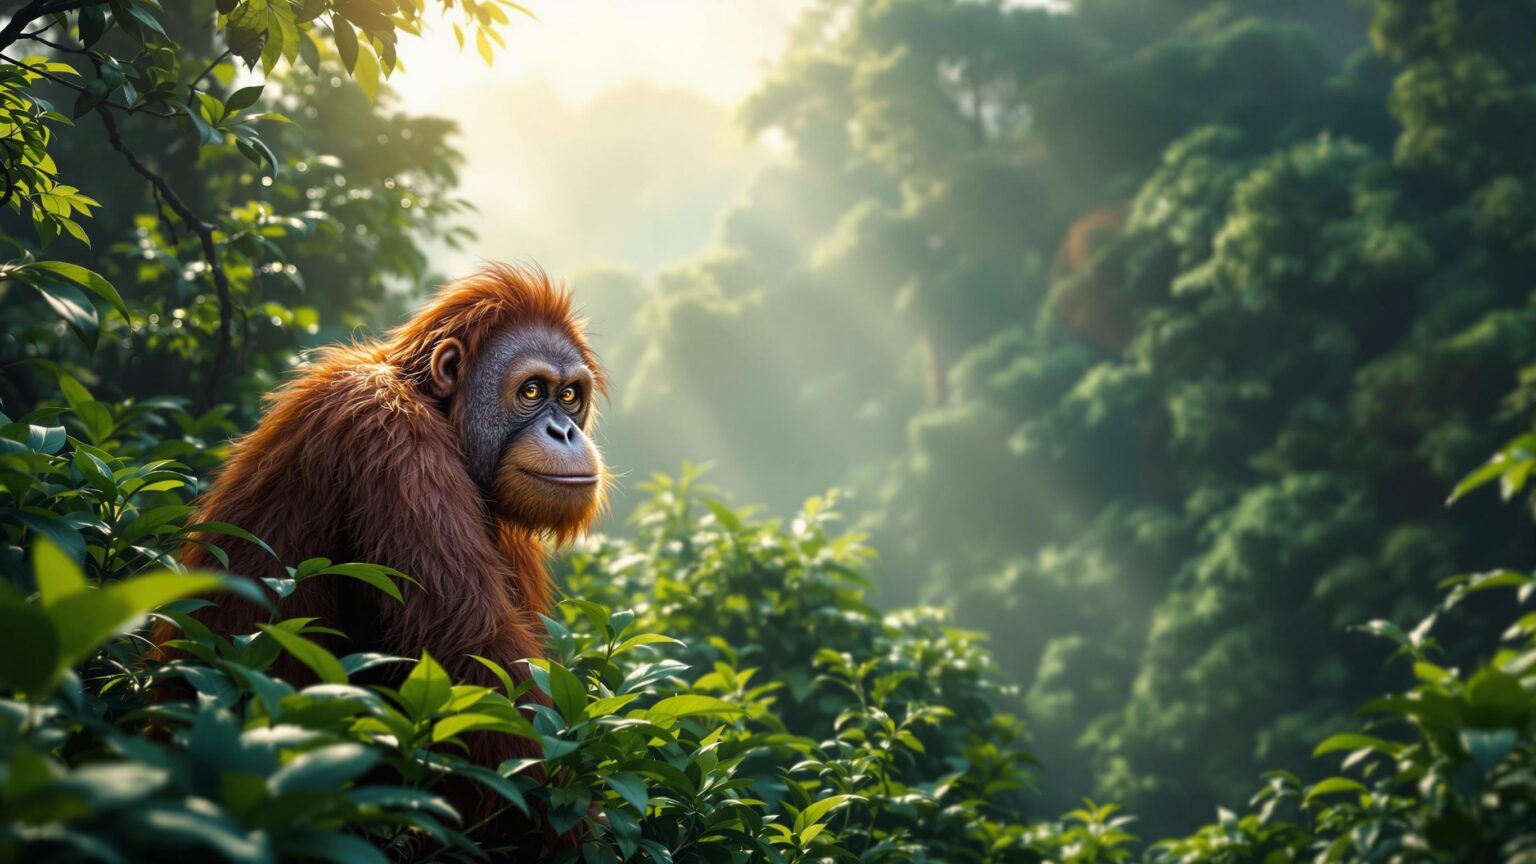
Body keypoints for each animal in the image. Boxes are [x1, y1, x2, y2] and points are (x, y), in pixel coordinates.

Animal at [156, 264, 607, 775]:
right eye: (531, 390)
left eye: (568, 396)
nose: (563, 431)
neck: (435, 406)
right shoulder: (399, 450)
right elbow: (473, 665)